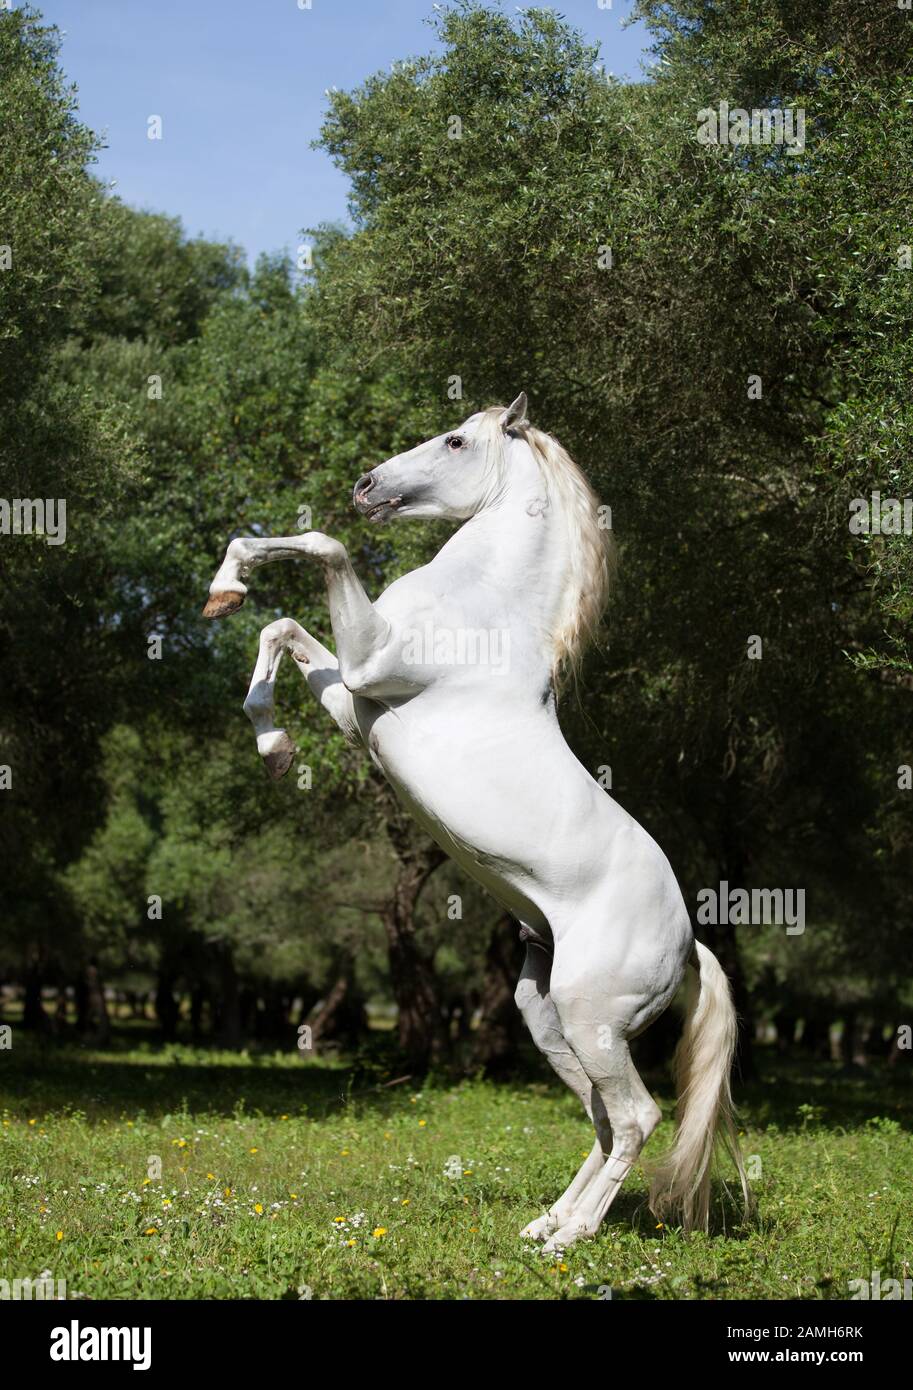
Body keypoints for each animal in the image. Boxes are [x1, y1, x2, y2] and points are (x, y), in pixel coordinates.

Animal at [203, 393, 749, 1249]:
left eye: (455, 440)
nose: (366, 486)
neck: (485, 607)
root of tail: (688, 943)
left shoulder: (369, 669)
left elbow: (321, 553)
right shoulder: (357, 707)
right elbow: (280, 629)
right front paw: (270, 735)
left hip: (594, 1021)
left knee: (636, 1116)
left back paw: (570, 1237)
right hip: (547, 1018)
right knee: (601, 1119)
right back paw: (543, 1222)